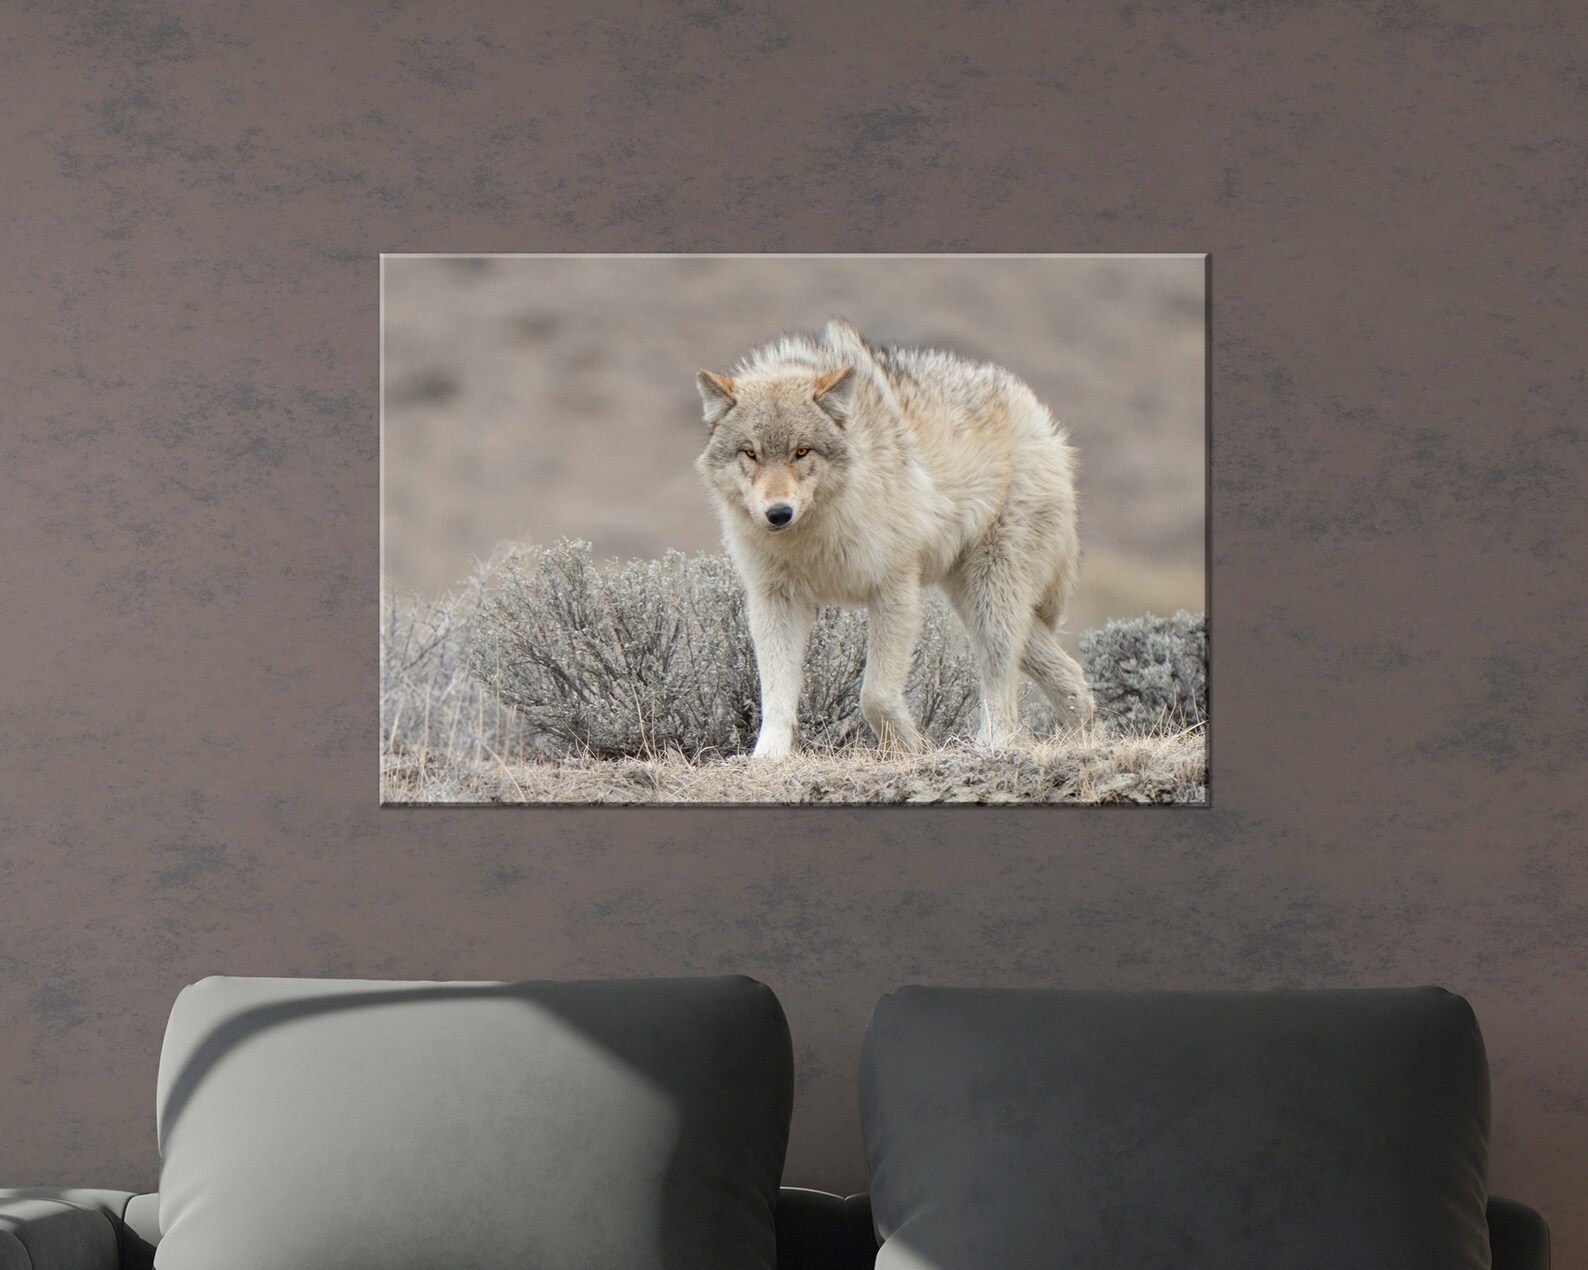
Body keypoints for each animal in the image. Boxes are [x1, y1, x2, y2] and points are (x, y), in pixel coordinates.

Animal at [695, 318, 1095, 759]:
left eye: (802, 452)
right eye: (750, 453)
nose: (778, 513)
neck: (815, 535)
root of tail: (1043, 421)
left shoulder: (894, 588)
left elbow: (875, 696)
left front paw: (908, 746)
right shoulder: (775, 599)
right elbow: (776, 696)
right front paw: (767, 758)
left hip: (990, 601)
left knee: (1001, 685)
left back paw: (991, 745)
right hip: (976, 599)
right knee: (1072, 676)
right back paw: (1082, 738)